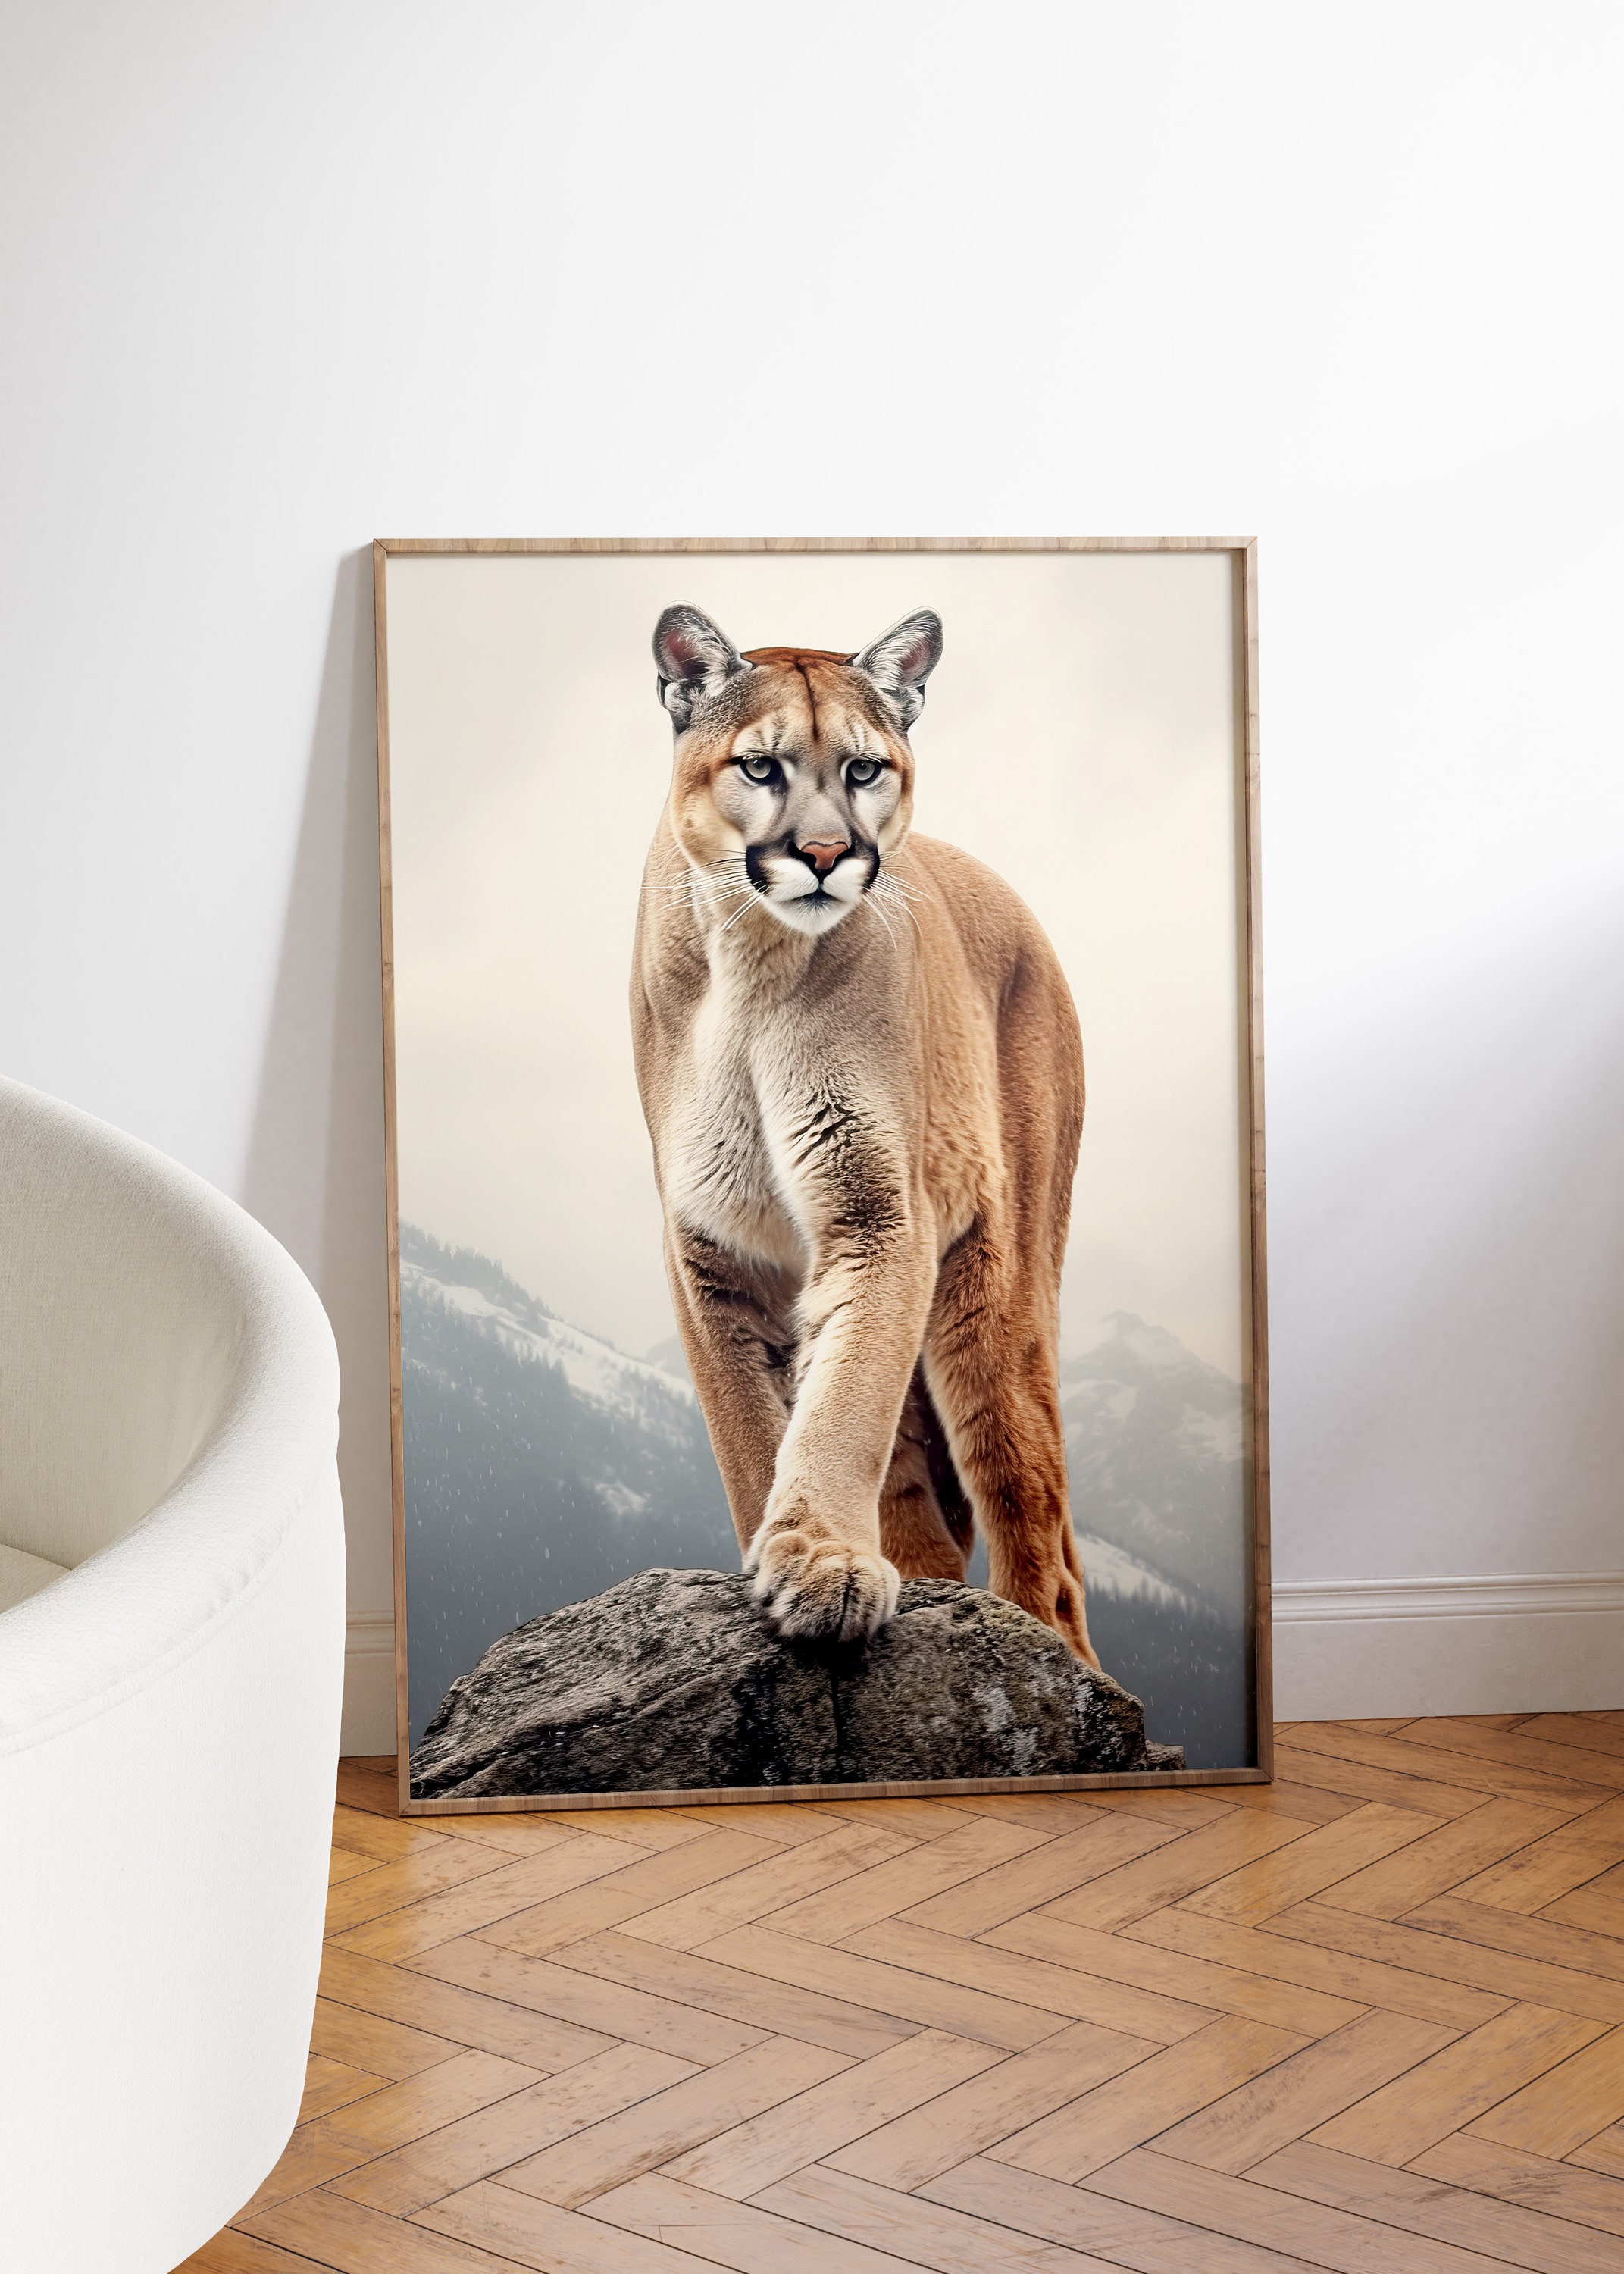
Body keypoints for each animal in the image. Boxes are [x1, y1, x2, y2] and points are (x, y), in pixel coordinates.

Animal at [630, 603, 1097, 1664]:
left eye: (864, 768)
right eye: (761, 767)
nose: (823, 853)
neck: (752, 966)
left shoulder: (880, 1211)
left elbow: (843, 1405)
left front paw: (820, 1560)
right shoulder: (708, 1245)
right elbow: (752, 1433)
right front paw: (797, 1559)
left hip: (995, 1304)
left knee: (1039, 1542)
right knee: (926, 1516)